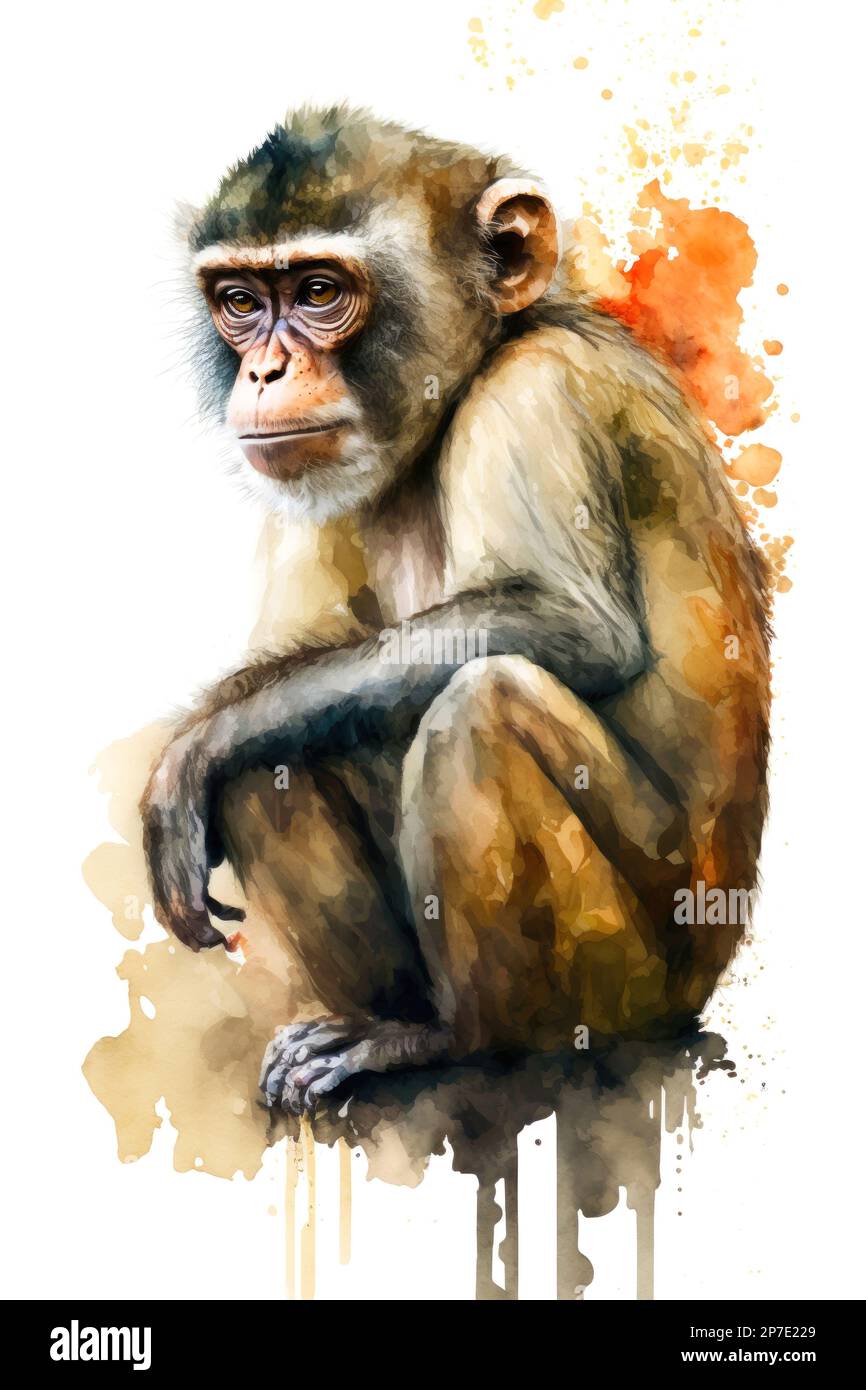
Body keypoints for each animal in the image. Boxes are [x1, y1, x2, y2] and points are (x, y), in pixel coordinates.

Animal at [141, 107, 770, 1115]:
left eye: (319, 291)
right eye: (239, 301)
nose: (267, 369)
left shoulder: (539, 390)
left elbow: (567, 623)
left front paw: (190, 749)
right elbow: (288, 670)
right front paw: (209, 740)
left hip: (641, 980)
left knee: (482, 710)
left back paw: (457, 1042)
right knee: (278, 754)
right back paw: (377, 1021)